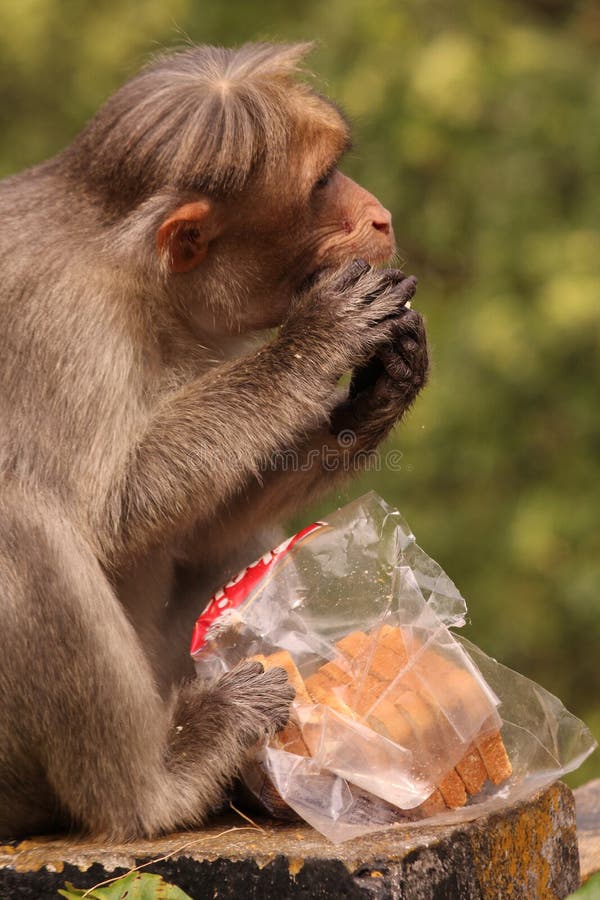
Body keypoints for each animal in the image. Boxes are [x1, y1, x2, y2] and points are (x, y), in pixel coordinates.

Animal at [0, 42, 428, 840]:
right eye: (320, 184)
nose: (381, 217)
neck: (139, 276)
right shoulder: (64, 324)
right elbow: (110, 514)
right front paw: (315, 341)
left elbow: (194, 527)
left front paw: (380, 388)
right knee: (28, 521)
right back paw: (159, 784)